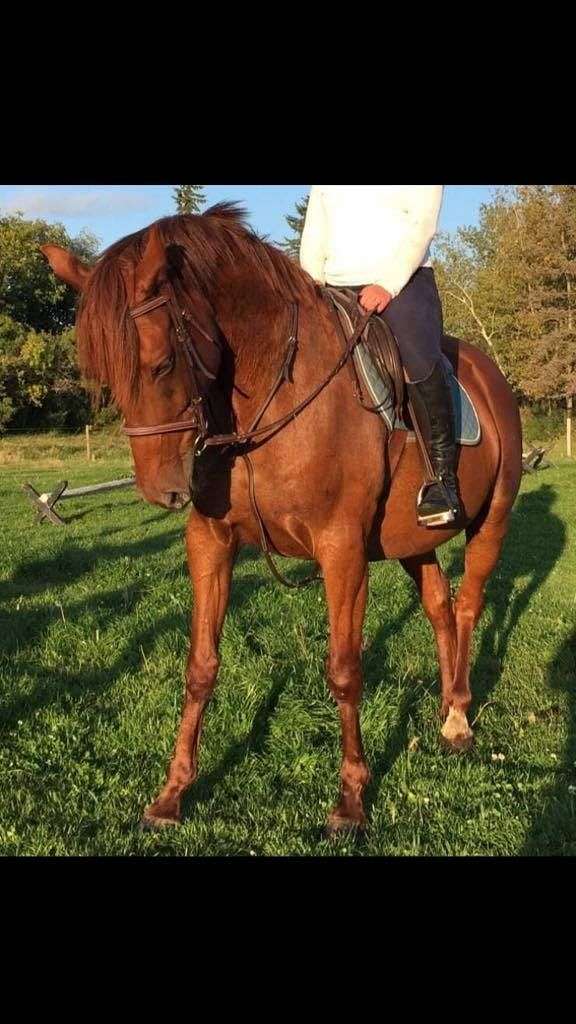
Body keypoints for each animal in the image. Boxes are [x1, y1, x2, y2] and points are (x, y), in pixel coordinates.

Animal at [41, 202, 523, 834]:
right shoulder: (210, 540)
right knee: (440, 609)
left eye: (162, 363)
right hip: (410, 541)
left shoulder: (342, 550)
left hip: (491, 520)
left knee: (467, 606)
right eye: (106, 377)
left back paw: (460, 721)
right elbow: (200, 666)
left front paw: (350, 800)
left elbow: (344, 670)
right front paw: (172, 794)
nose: (162, 490)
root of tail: (492, 379)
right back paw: (446, 710)